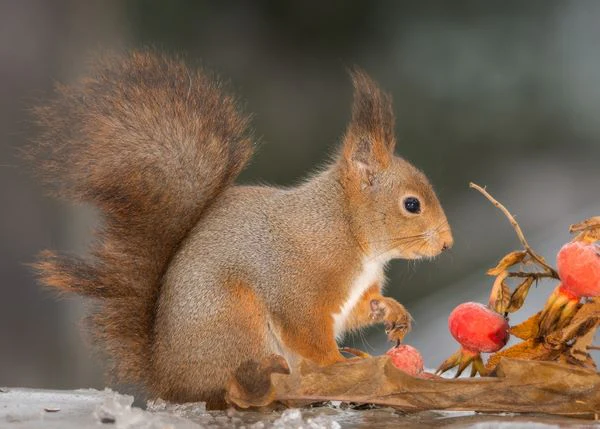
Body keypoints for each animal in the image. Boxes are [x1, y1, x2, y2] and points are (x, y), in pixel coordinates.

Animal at [27, 49, 450, 408]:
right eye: (411, 204)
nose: (447, 244)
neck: (347, 231)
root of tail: (169, 380)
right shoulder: (300, 286)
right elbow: (308, 333)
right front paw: (339, 364)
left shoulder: (353, 293)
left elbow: (359, 311)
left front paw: (392, 311)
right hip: (236, 321)